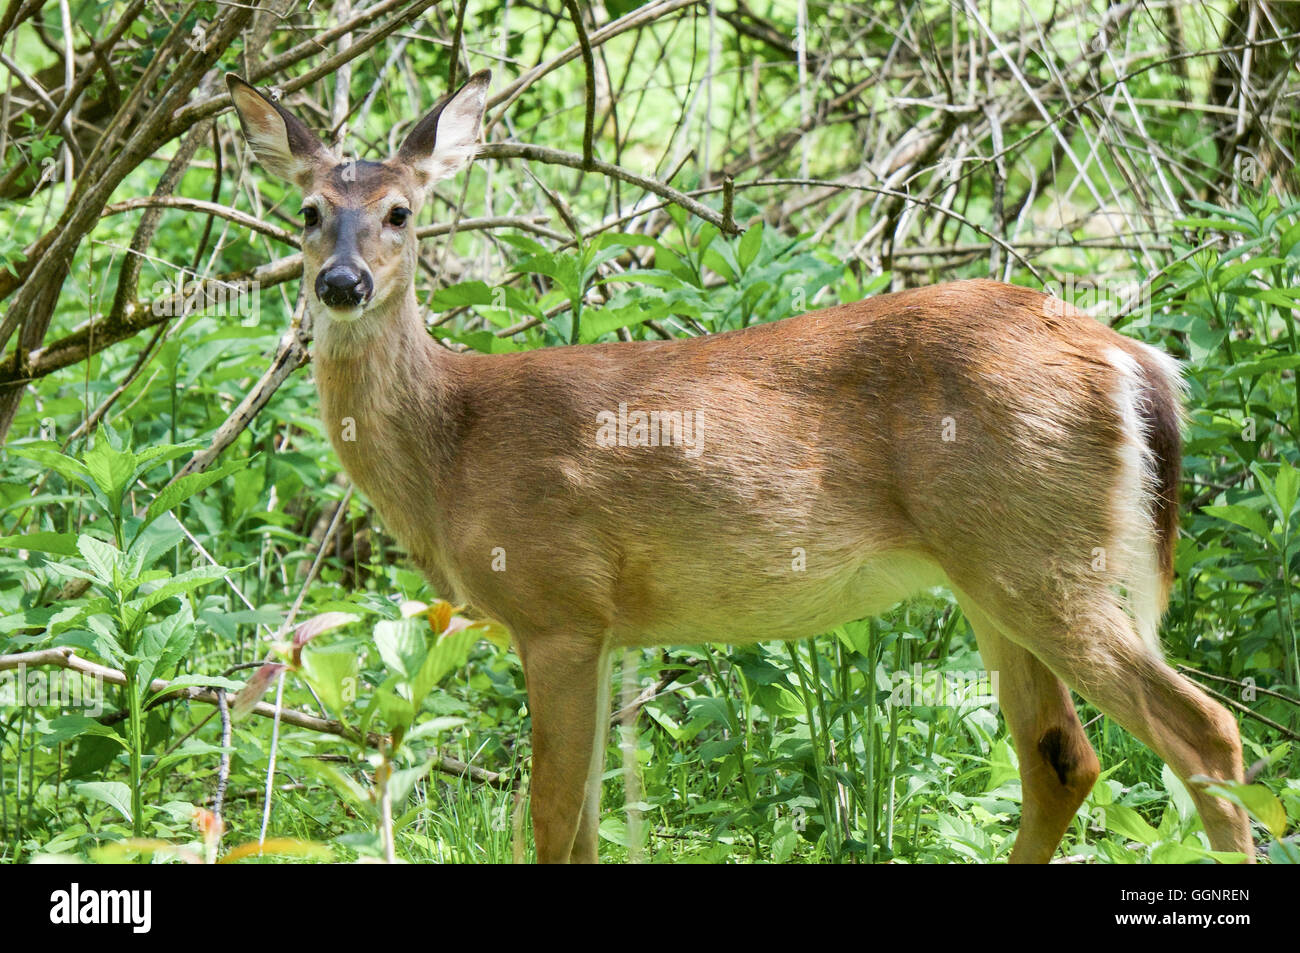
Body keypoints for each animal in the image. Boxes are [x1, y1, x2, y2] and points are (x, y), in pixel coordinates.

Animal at [226, 69, 1253, 864]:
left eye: (401, 212)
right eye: (308, 212)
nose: (342, 283)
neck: (453, 446)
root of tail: (1135, 359)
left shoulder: (558, 606)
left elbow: (551, 822)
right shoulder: (603, 633)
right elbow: (586, 825)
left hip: (1040, 556)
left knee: (1204, 729)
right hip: (997, 573)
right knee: (1061, 757)